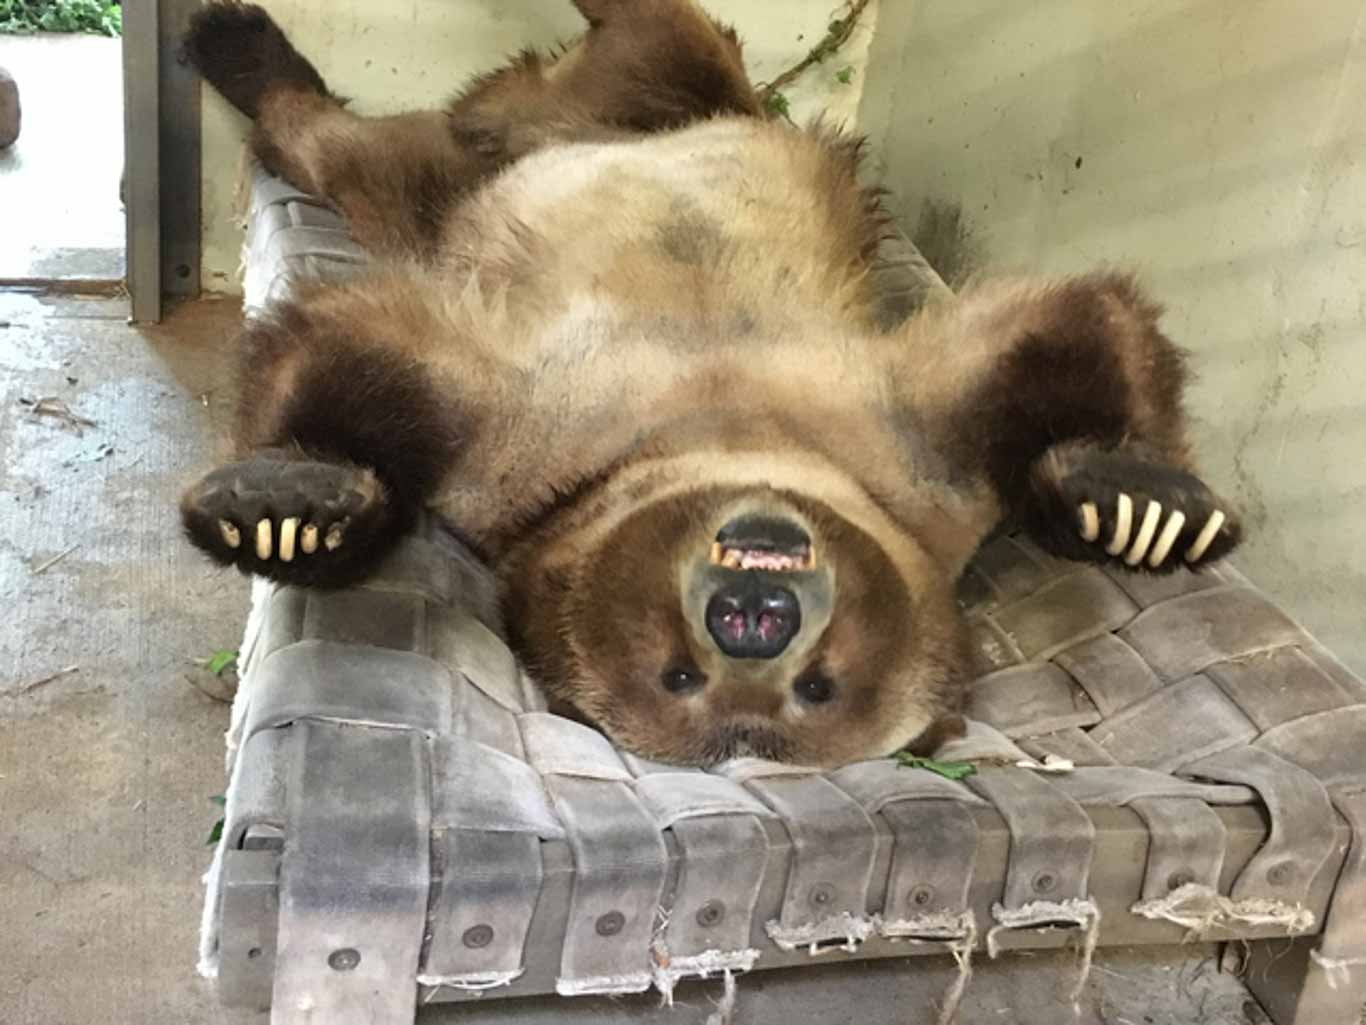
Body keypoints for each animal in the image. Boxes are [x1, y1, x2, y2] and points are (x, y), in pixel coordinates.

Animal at [179, 0, 1241, 768]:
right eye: (681, 674)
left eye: (816, 688)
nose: (754, 616)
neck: (724, 425)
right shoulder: (539, 423)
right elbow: (361, 352)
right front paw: (286, 501)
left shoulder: (908, 449)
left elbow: (1067, 331)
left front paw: (1136, 506)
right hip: (563, 149)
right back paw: (232, 36)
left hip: (532, 151)